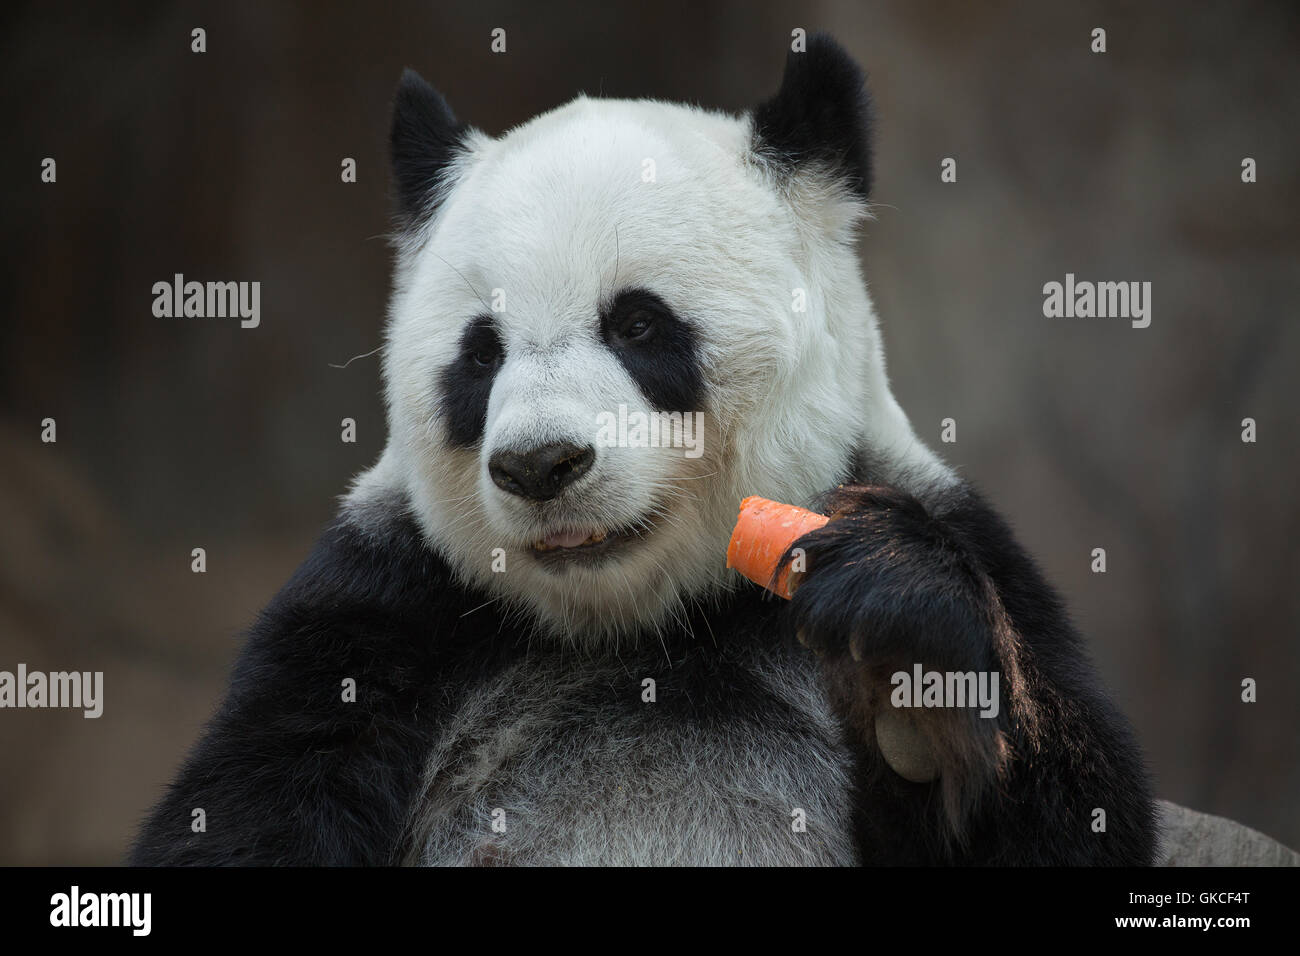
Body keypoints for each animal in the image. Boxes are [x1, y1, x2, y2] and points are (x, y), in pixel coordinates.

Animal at [131, 35, 1156, 866]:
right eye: (480, 354)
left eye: (636, 324)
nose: (540, 465)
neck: (640, 626)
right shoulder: (378, 606)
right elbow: (238, 816)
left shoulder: (943, 524)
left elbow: (1079, 820)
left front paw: (910, 680)